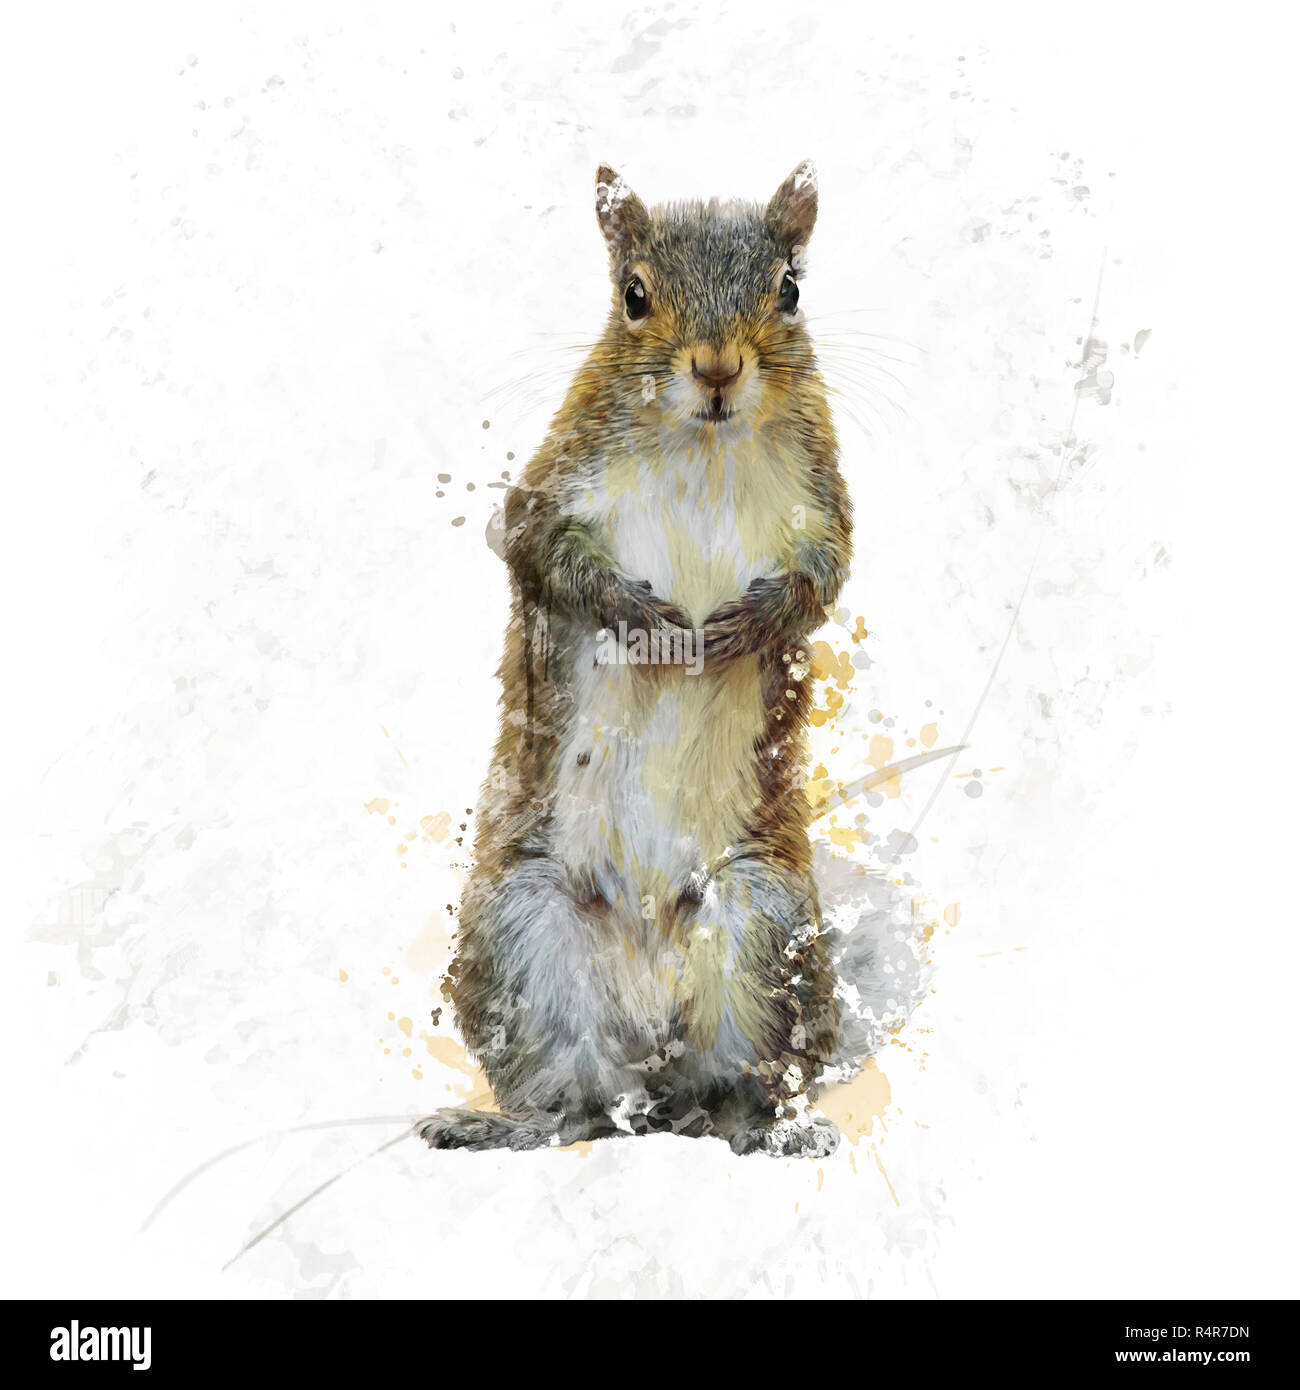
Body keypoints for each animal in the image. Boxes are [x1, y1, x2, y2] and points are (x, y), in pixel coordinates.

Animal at [420, 161, 852, 1157]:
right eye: (633, 296)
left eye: (790, 290)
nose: (718, 368)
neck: (704, 443)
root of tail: (654, 1092)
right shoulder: (550, 487)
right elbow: (542, 553)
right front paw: (638, 614)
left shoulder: (824, 501)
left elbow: (824, 580)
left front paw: (746, 625)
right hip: (523, 930)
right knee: (572, 1108)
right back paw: (505, 1126)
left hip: (762, 922)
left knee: (741, 1086)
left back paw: (769, 1129)